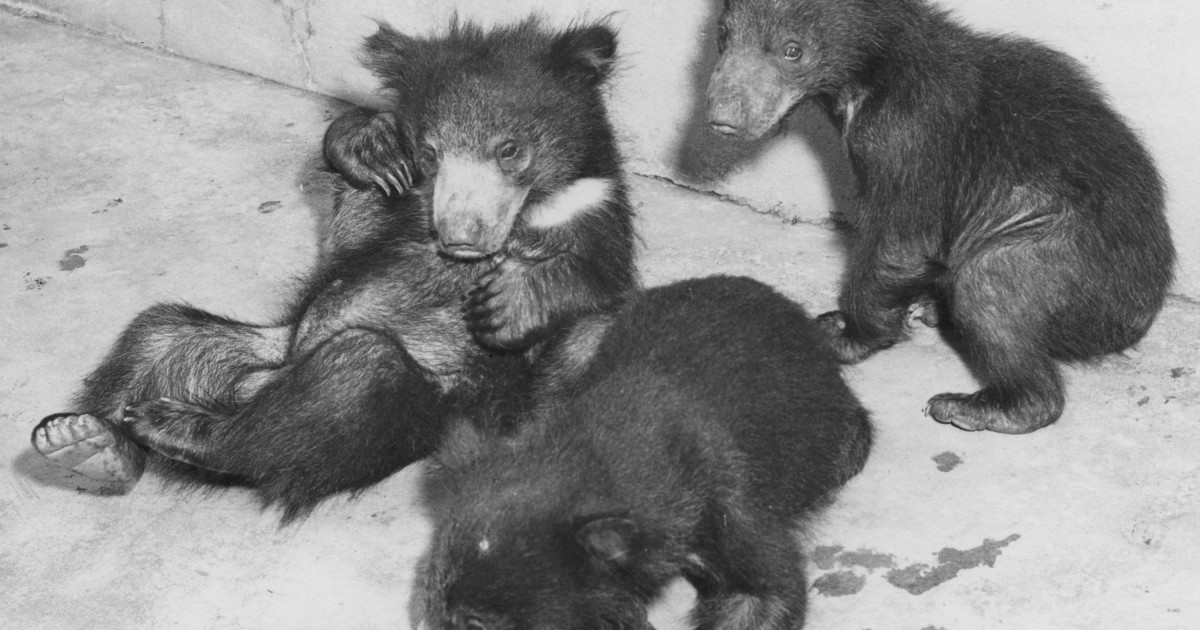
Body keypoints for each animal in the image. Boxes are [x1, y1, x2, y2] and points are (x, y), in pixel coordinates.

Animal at [30, 16, 638, 522]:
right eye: (431, 153)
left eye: (510, 150)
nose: (461, 237)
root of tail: (265, 382)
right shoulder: (392, 217)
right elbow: (355, 217)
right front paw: (372, 146)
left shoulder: (597, 211)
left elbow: (601, 281)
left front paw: (505, 306)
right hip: (237, 348)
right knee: (154, 338)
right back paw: (88, 442)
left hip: (418, 408)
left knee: (344, 387)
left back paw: (174, 427)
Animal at [418, 275, 873, 630]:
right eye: (427, 597)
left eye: (478, 623)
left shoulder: (730, 501)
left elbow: (767, 592)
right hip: (589, 335)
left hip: (839, 436)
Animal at [705, 0, 1175, 434]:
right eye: (723, 37)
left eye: (791, 51)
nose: (723, 117)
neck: (868, 73)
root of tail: (1143, 312)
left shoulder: (905, 139)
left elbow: (901, 242)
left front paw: (842, 334)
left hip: (1067, 258)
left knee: (990, 287)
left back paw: (977, 407)